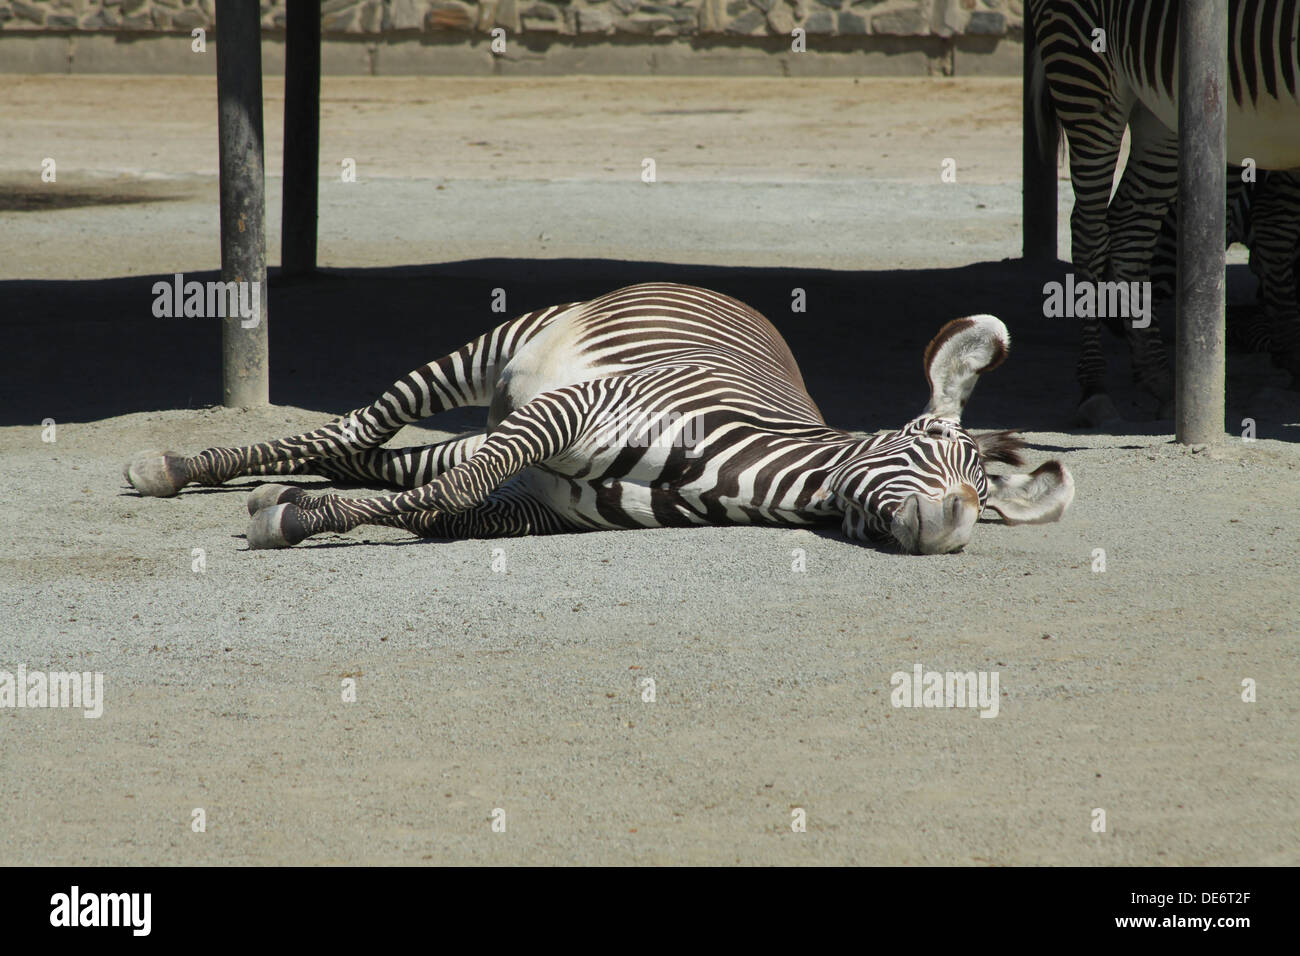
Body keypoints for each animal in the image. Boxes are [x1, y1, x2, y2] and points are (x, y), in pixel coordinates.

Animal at [123, 283, 1075, 555]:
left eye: (984, 497)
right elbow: (445, 494)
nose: (951, 525)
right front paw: (294, 519)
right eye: (928, 442)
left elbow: (442, 506)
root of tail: (725, 293)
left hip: (499, 421)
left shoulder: (539, 505)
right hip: (496, 354)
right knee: (351, 433)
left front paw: (301, 508)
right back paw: (180, 469)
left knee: (387, 462)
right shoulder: (571, 411)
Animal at [1028, 0, 1300, 424]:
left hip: (1163, 107)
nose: (1113, 321)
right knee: (1089, 231)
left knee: (1130, 224)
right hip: (1084, 70)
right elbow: (1278, 224)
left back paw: (1160, 380)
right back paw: (1095, 388)